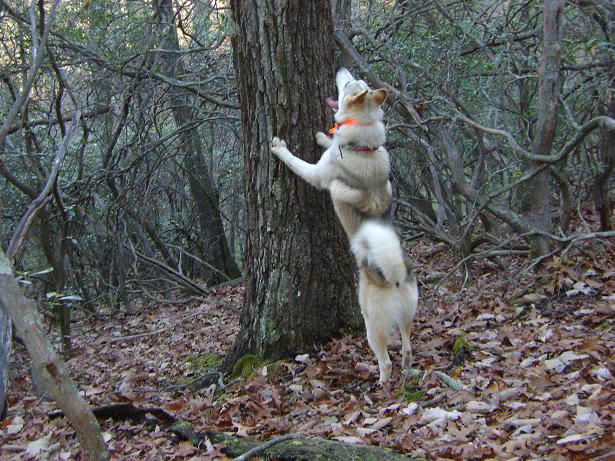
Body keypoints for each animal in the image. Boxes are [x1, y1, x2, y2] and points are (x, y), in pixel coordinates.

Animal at [270, 68, 394, 241]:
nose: (340, 68)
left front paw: (280, 149)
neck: (361, 148)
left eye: (348, 83)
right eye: (359, 81)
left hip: (338, 189)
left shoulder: (316, 174)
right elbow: (333, 143)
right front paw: (323, 138)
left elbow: (294, 161)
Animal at [352, 221, 418, 382]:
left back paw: (382, 382)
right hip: (406, 317)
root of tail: (394, 277)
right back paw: (406, 365)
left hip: (373, 331)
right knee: (407, 348)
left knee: (386, 363)